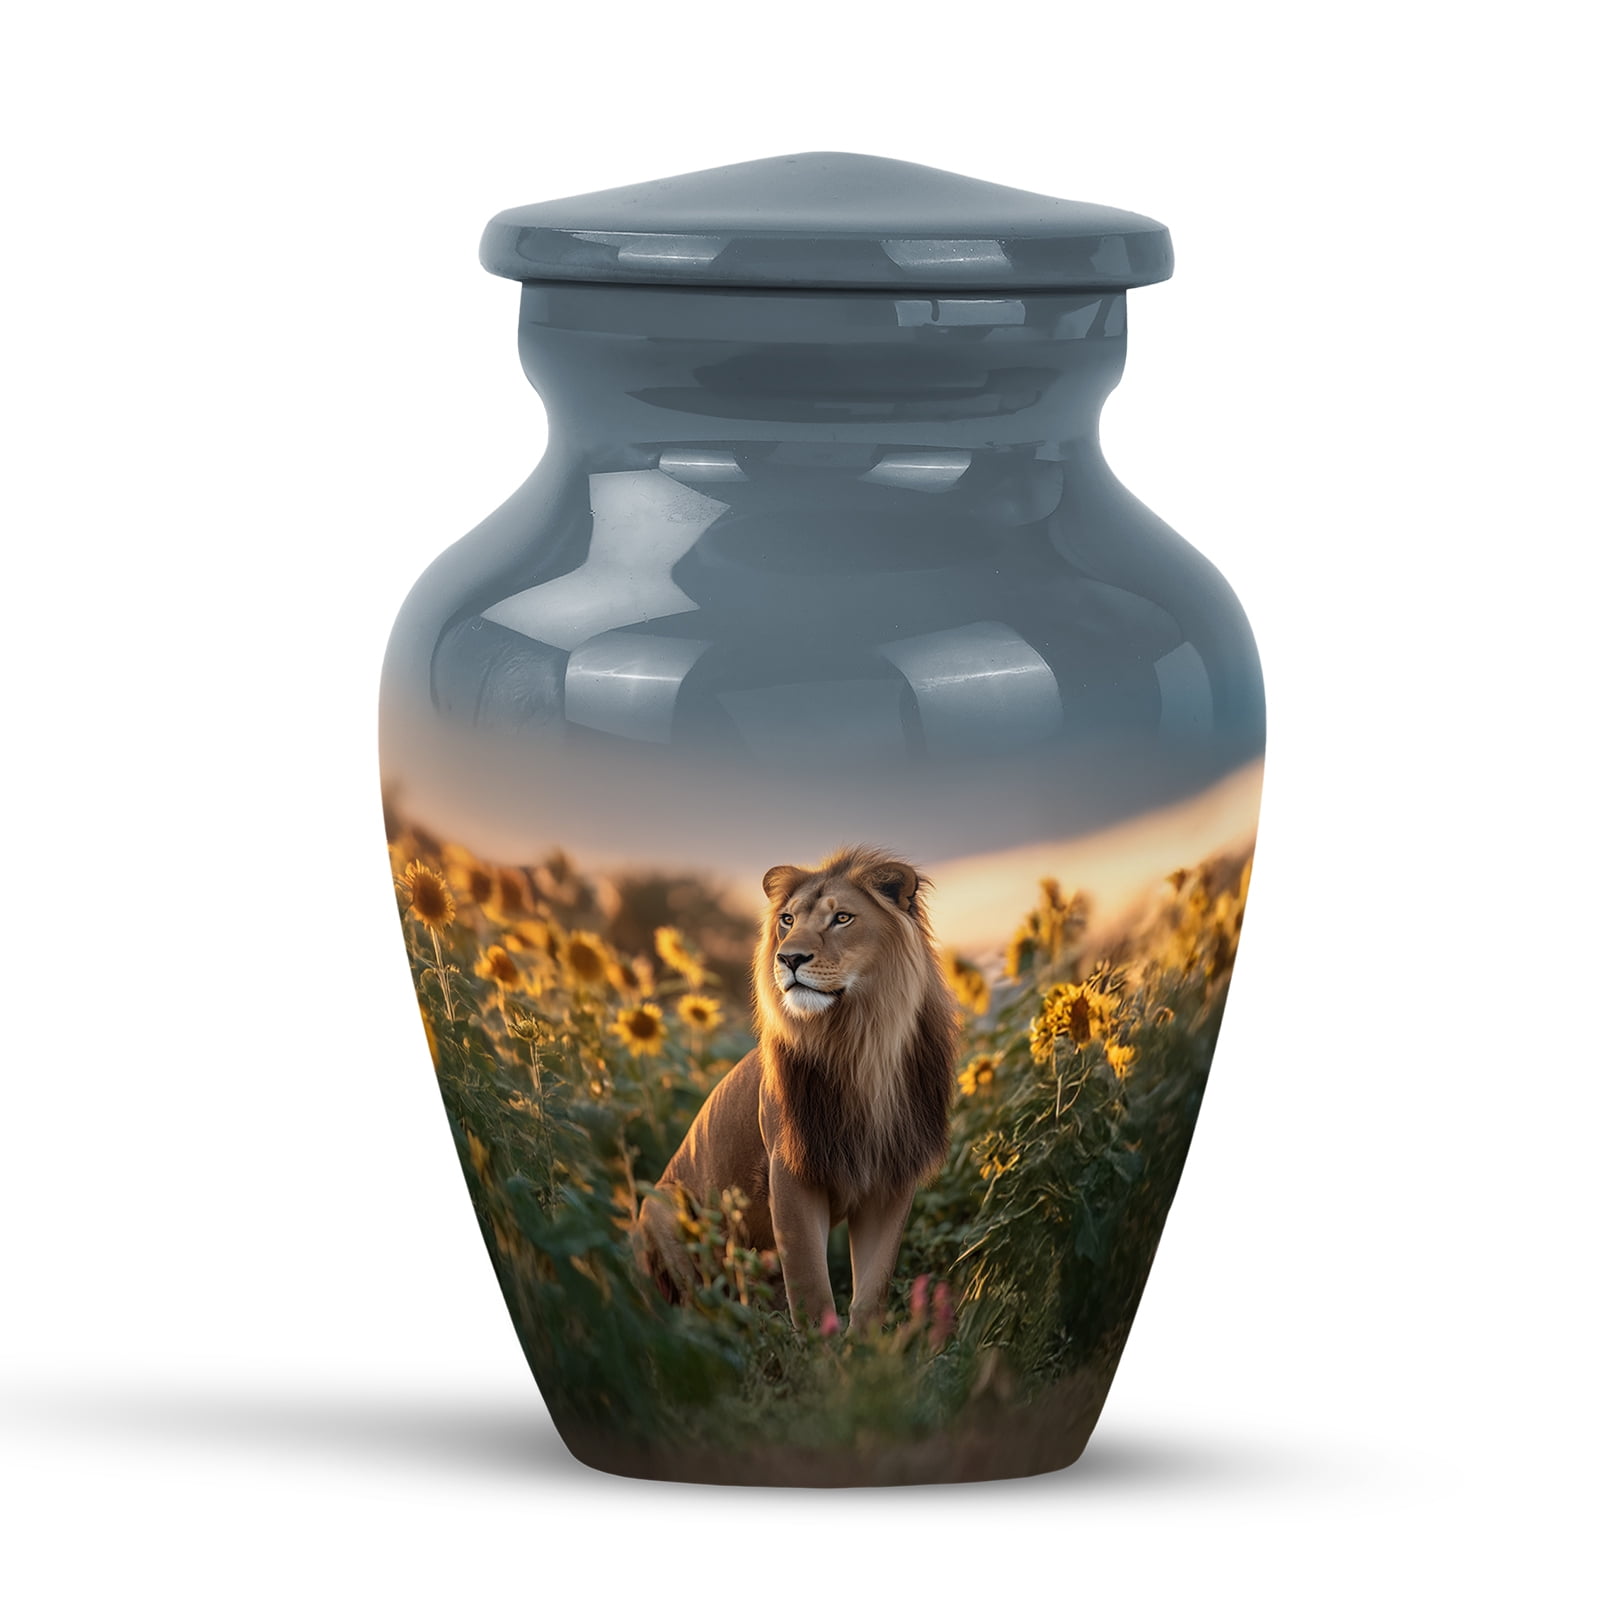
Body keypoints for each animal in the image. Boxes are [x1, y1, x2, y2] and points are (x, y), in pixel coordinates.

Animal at [635, 845, 960, 1329]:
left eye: (842, 918)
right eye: (787, 920)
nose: (788, 959)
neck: (860, 1045)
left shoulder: (892, 1177)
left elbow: (871, 1292)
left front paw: (864, 1350)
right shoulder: (790, 1173)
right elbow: (811, 1291)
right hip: (659, 1205)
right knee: (696, 1311)